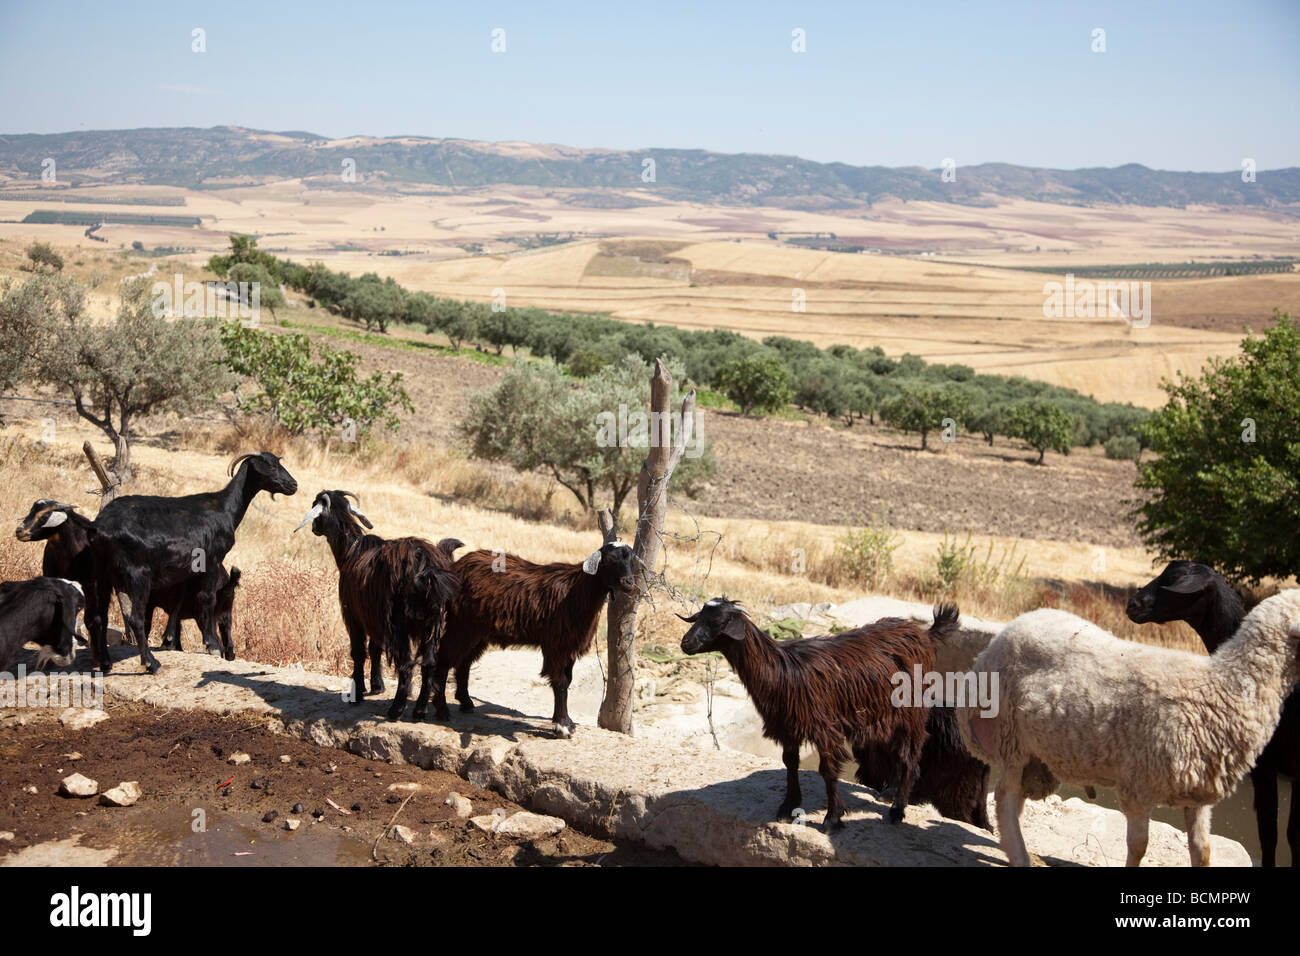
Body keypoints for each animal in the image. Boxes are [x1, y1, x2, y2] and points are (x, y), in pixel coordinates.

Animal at [81, 451, 297, 674]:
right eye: (271, 465)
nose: (293, 485)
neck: (224, 508)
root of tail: (98, 527)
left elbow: (181, 602)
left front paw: (174, 641)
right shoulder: (212, 560)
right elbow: (207, 598)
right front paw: (212, 644)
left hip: (100, 575)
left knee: (99, 617)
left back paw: (105, 663)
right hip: (138, 576)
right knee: (136, 619)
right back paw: (151, 663)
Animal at [295, 490, 461, 721]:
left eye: (314, 506)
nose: (314, 528)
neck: (351, 550)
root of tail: (423, 563)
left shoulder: (353, 615)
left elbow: (358, 652)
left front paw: (357, 693)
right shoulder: (373, 617)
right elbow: (375, 648)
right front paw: (376, 686)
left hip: (399, 622)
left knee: (406, 663)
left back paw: (396, 709)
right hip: (431, 622)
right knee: (428, 663)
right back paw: (419, 710)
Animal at [430, 526, 636, 737]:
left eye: (631, 560)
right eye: (609, 559)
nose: (629, 582)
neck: (577, 591)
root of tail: (456, 566)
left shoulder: (569, 646)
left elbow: (568, 681)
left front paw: (565, 722)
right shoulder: (556, 646)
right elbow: (560, 682)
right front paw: (562, 726)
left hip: (477, 632)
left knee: (464, 662)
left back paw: (465, 702)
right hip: (460, 626)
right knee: (443, 661)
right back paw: (442, 710)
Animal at [678, 598, 959, 829]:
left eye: (717, 622)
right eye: (698, 617)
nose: (685, 643)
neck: (782, 670)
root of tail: (924, 634)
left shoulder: (825, 728)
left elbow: (828, 770)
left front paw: (833, 817)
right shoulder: (787, 726)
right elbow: (790, 763)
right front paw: (788, 807)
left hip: (911, 709)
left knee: (909, 753)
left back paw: (897, 809)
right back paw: (890, 792)